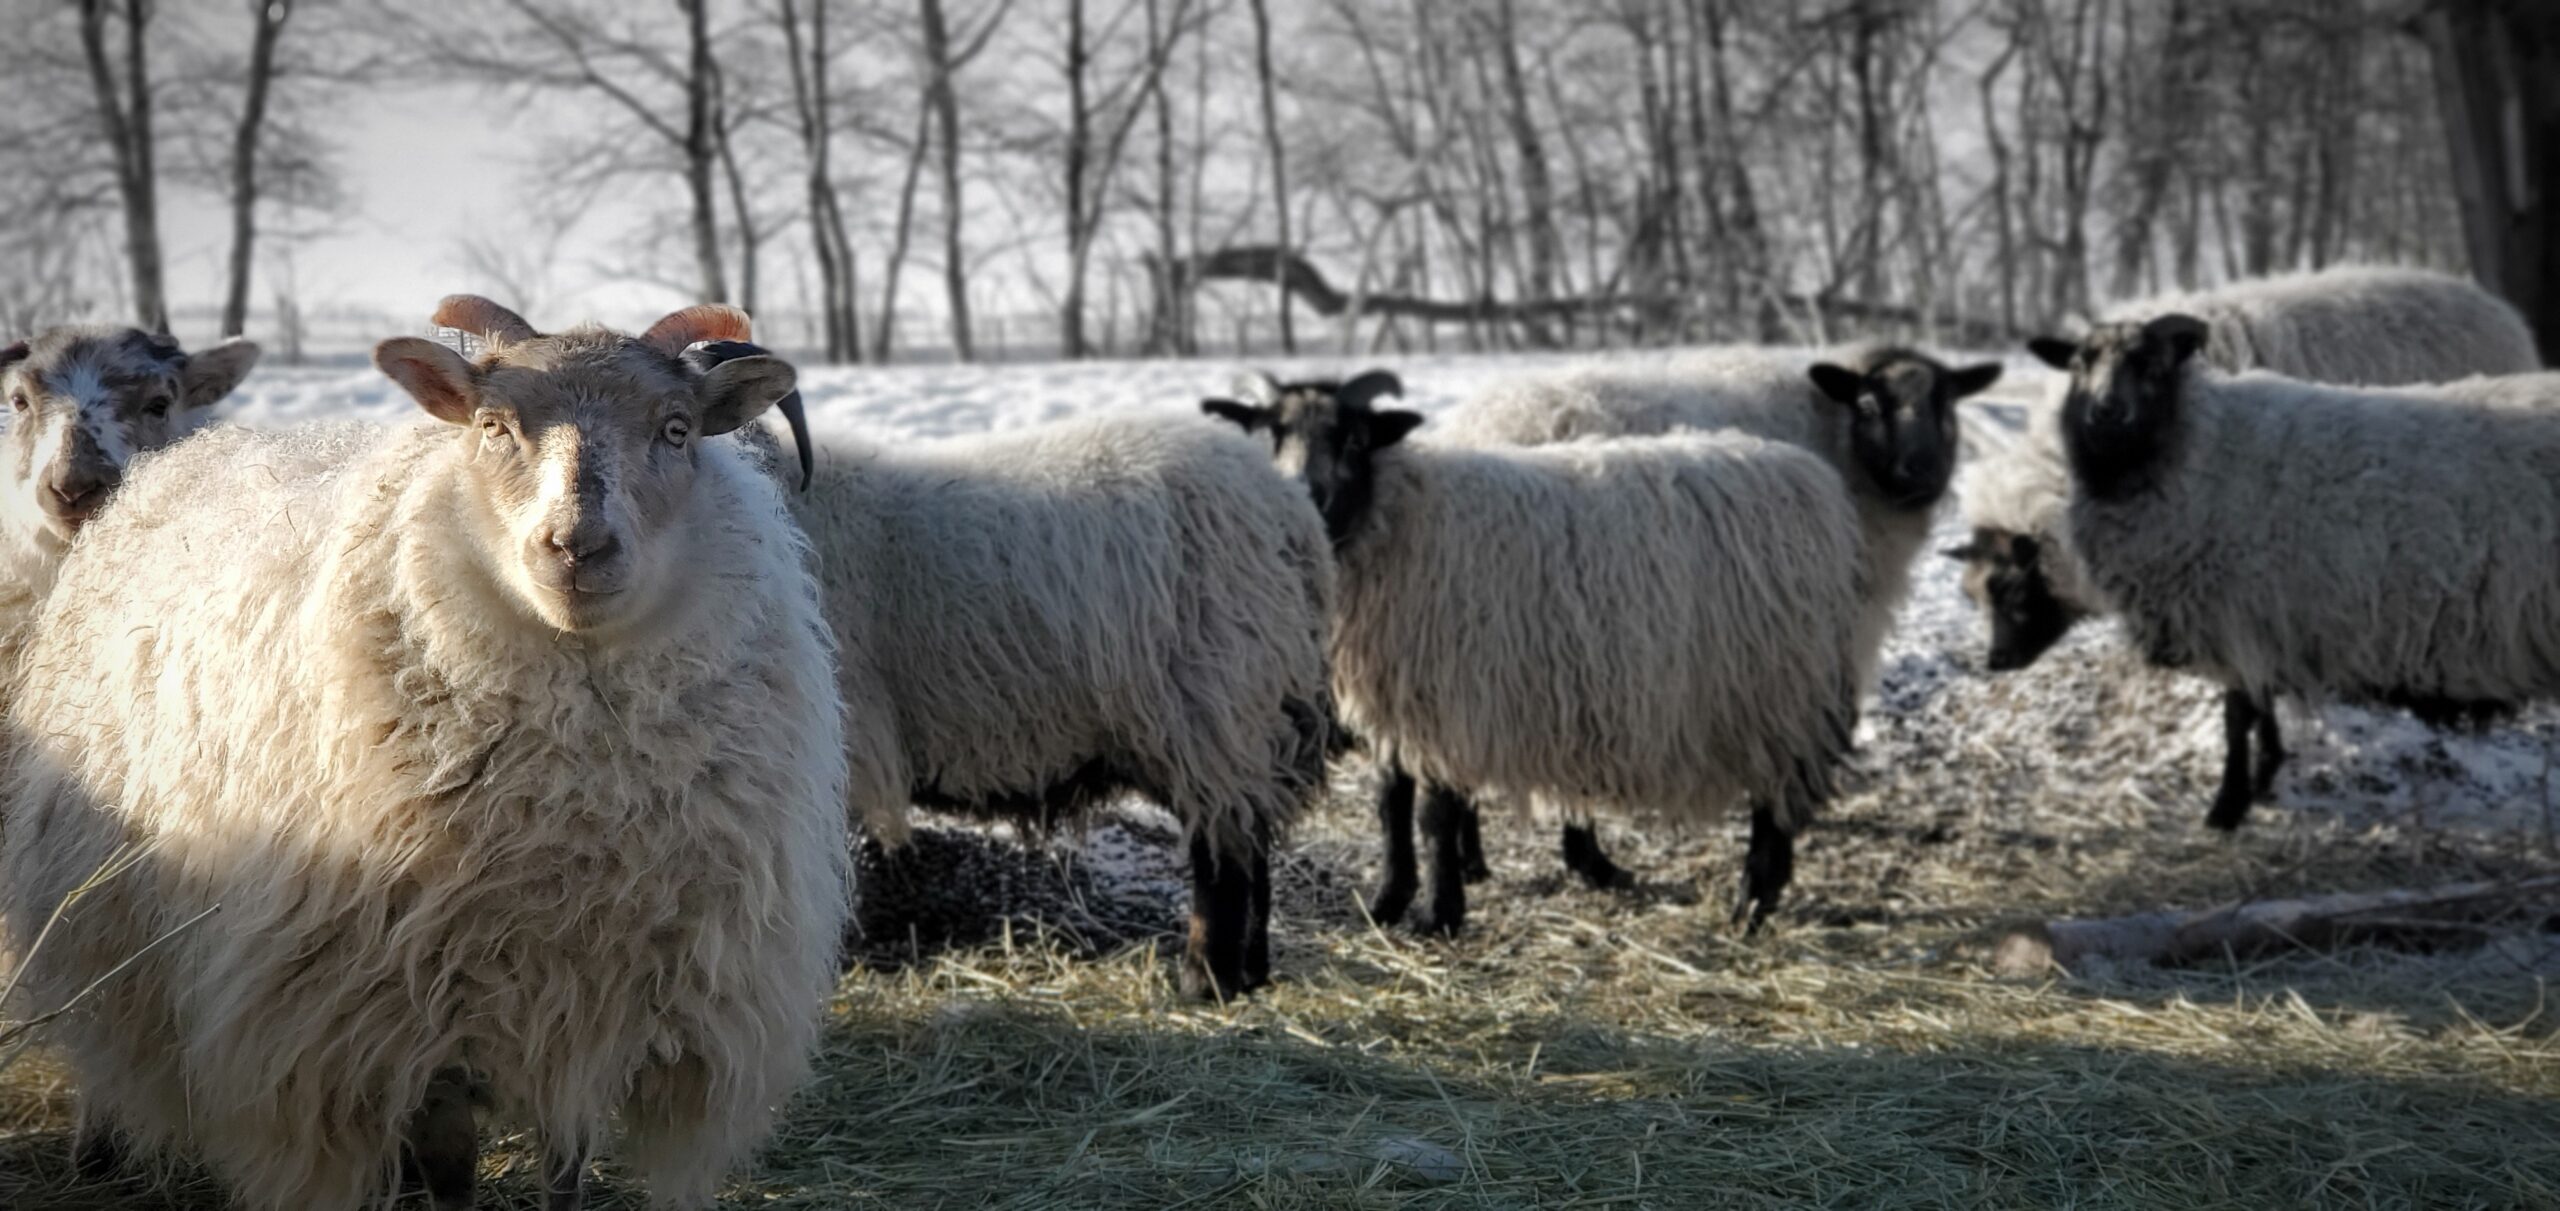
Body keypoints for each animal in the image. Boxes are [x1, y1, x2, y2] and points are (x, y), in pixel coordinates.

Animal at [0, 296, 853, 1211]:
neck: (576, 827)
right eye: (492, 425)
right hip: (107, 913)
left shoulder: (597, 1007)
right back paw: (98, 1145)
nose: (577, 547)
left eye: (677, 428)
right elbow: (450, 1164)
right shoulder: (401, 1014)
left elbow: (565, 1166)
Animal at [578, 334, 1334, 1002]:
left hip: (1213, 705)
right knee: (1253, 842)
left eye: (678, 428)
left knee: (1224, 855)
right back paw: (1252, 972)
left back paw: (1205, 980)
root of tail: (1287, 512)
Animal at [1203, 374, 1868, 936]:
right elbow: (1391, 807)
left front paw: (1440, 915)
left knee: (1776, 804)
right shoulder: (1395, 692)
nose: (1302, 495)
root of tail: (1814, 478)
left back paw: (1750, 905)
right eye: (1271, 431)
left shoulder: (1446, 695)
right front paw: (1388, 901)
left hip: (1781, 683)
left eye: (1353, 438)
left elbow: (1436, 816)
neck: (1397, 520)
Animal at [1410, 345, 2000, 892]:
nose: (1921, 475)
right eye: (1871, 405)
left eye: (1946, 404)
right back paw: (1572, 862)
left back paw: (1480, 861)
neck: (1836, 436)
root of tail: (1476, 426)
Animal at [1960, 268, 2544, 825]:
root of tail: (2490, 304)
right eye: (1977, 596)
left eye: (2012, 589)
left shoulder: (2242, 591)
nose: (1996, 662)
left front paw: (2237, 795)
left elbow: (2242, 703)